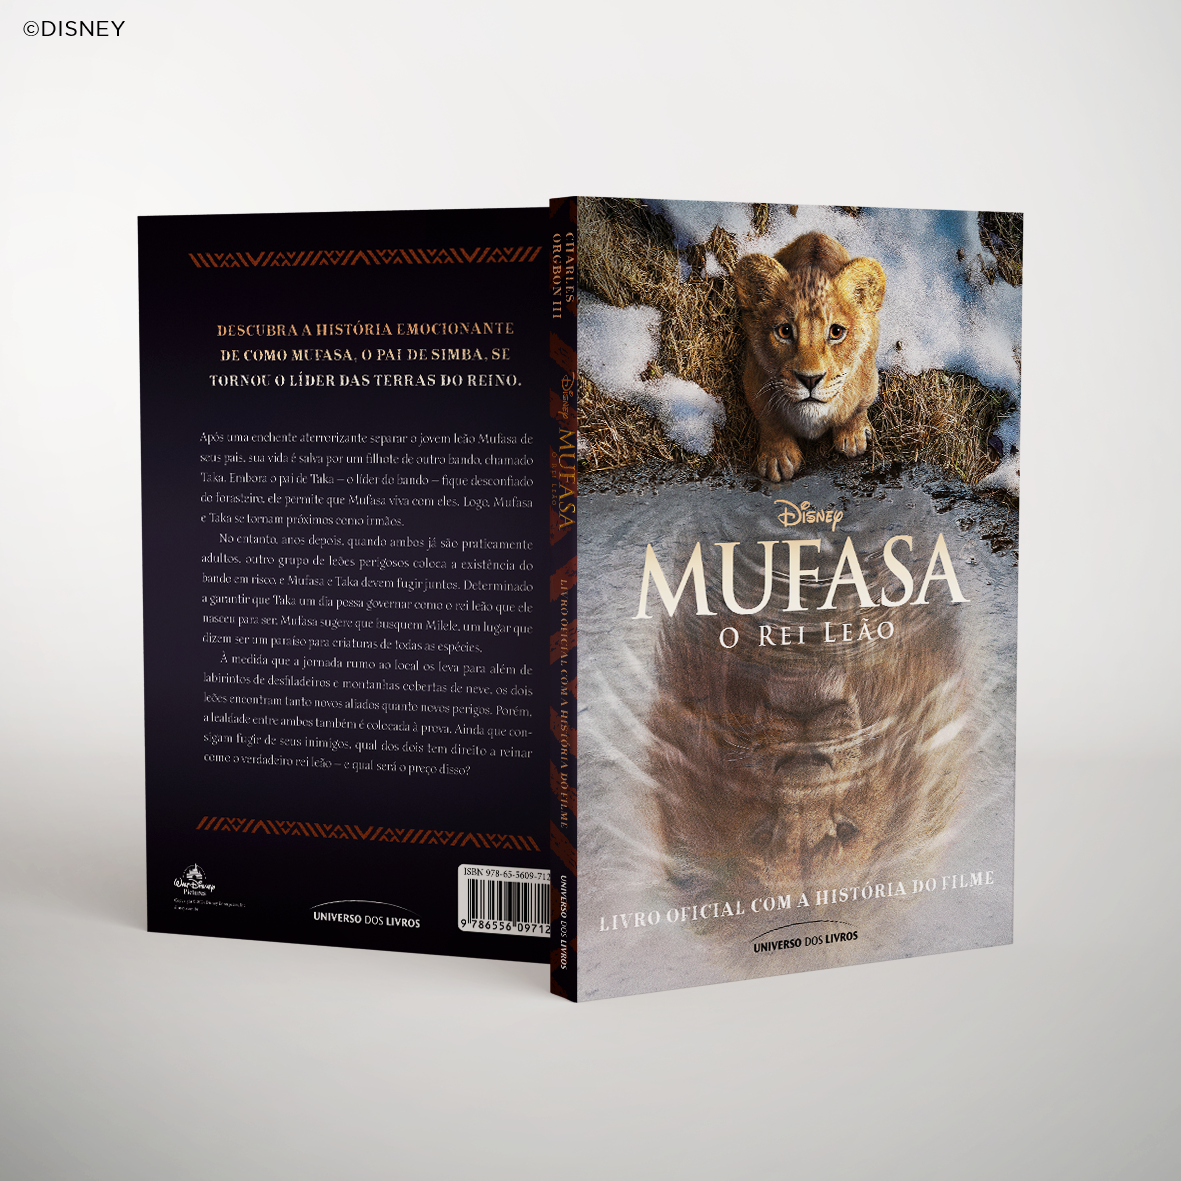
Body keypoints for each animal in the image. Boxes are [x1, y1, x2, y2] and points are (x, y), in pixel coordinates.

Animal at [733, 231, 886, 483]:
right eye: (784, 331)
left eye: (836, 332)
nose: (810, 379)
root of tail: (816, 234)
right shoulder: (754, 379)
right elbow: (769, 419)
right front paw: (778, 458)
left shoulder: (869, 379)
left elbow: (857, 409)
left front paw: (853, 436)